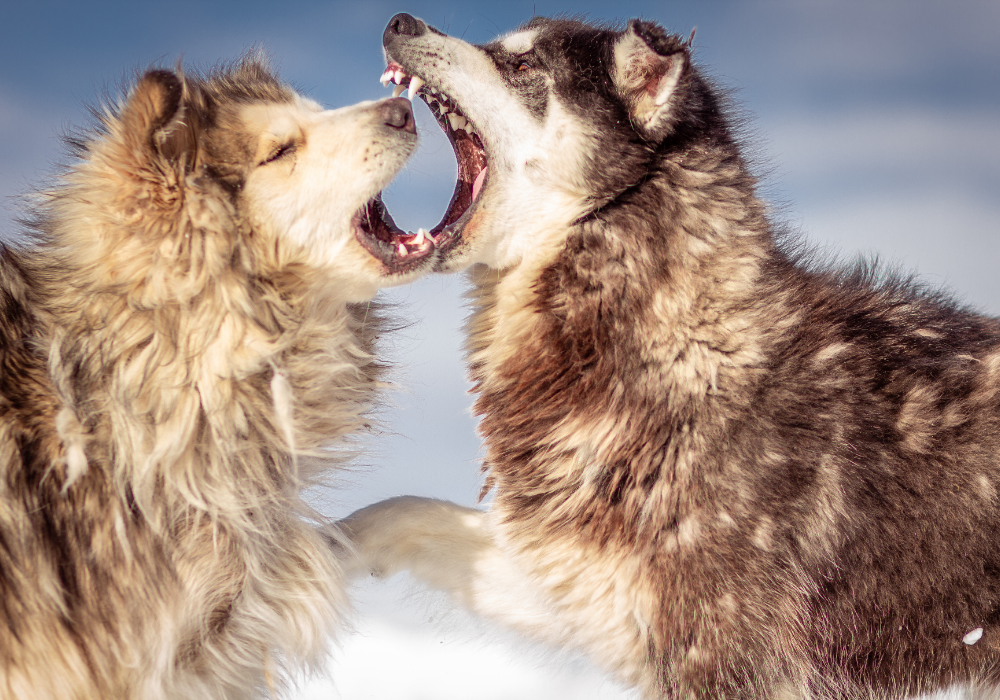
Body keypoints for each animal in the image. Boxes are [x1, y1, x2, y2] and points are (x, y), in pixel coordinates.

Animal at [344, 13, 1000, 700]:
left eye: (522, 65)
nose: (401, 20)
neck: (683, 349)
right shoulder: (592, 588)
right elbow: (401, 513)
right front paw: (322, 552)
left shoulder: (724, 658)